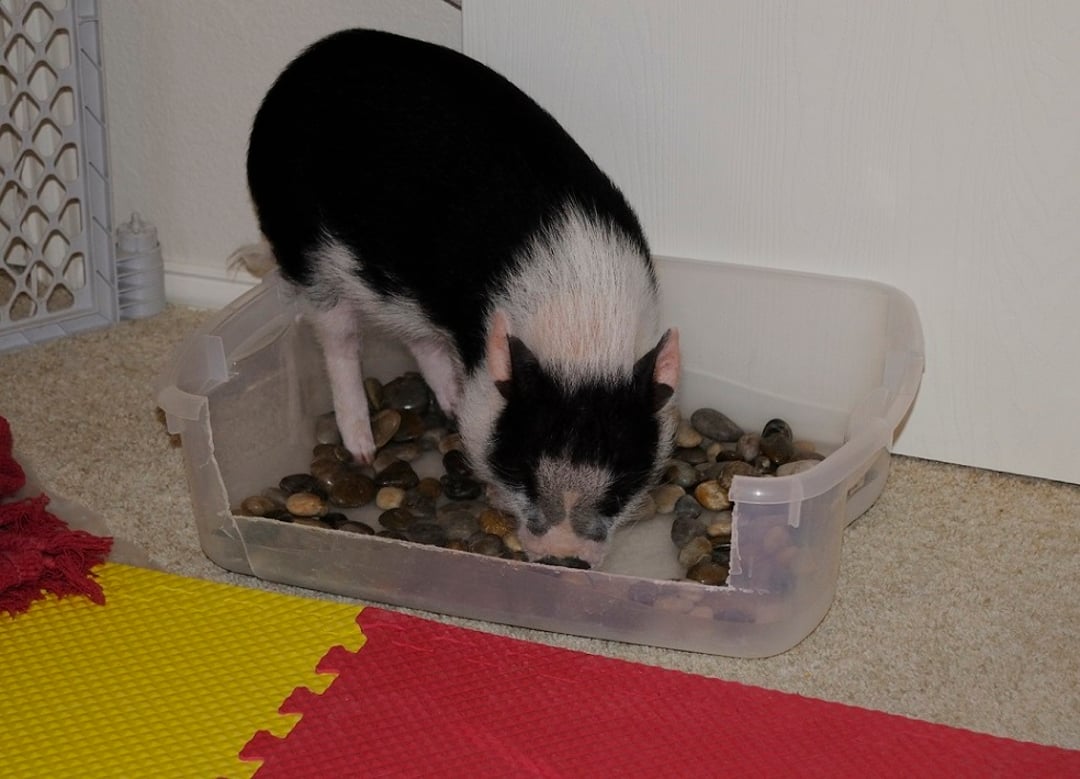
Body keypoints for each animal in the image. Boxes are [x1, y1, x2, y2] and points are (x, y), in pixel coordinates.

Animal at [238, 28, 680, 568]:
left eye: (618, 488)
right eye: (524, 472)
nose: (564, 557)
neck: (582, 337)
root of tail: (307, 60)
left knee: (418, 336)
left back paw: (444, 401)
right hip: (302, 245)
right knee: (338, 340)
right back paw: (363, 448)